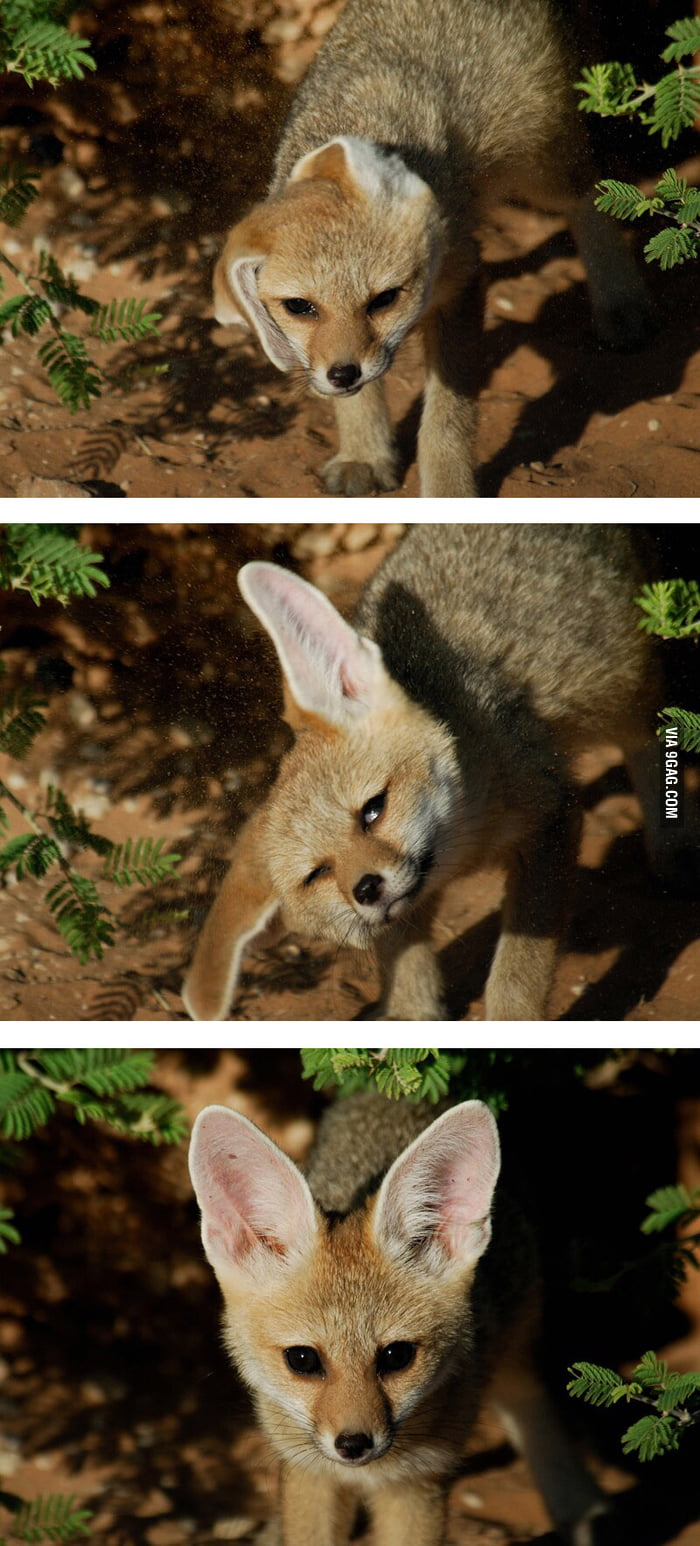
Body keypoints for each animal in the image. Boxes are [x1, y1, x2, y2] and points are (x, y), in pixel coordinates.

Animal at [182, 522, 692, 1023]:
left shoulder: (551, 818)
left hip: (627, 693)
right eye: (318, 874)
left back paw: (672, 848)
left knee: (651, 741)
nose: (366, 888)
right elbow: (406, 968)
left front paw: (512, 1026)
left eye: (373, 809)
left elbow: (516, 974)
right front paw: (412, 1021)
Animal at [188, 1093, 613, 1546]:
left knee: (530, 1403)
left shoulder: (419, 1482)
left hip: (514, 1336)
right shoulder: (310, 1472)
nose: (353, 1444)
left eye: (396, 1356)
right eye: (302, 1360)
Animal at [211, 0, 653, 497]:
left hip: (542, 170)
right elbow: (357, 398)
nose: (343, 374)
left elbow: (447, 417)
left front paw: (447, 488)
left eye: (384, 300)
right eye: (299, 307)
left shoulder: (461, 286)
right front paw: (365, 453)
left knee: (592, 194)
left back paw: (620, 302)